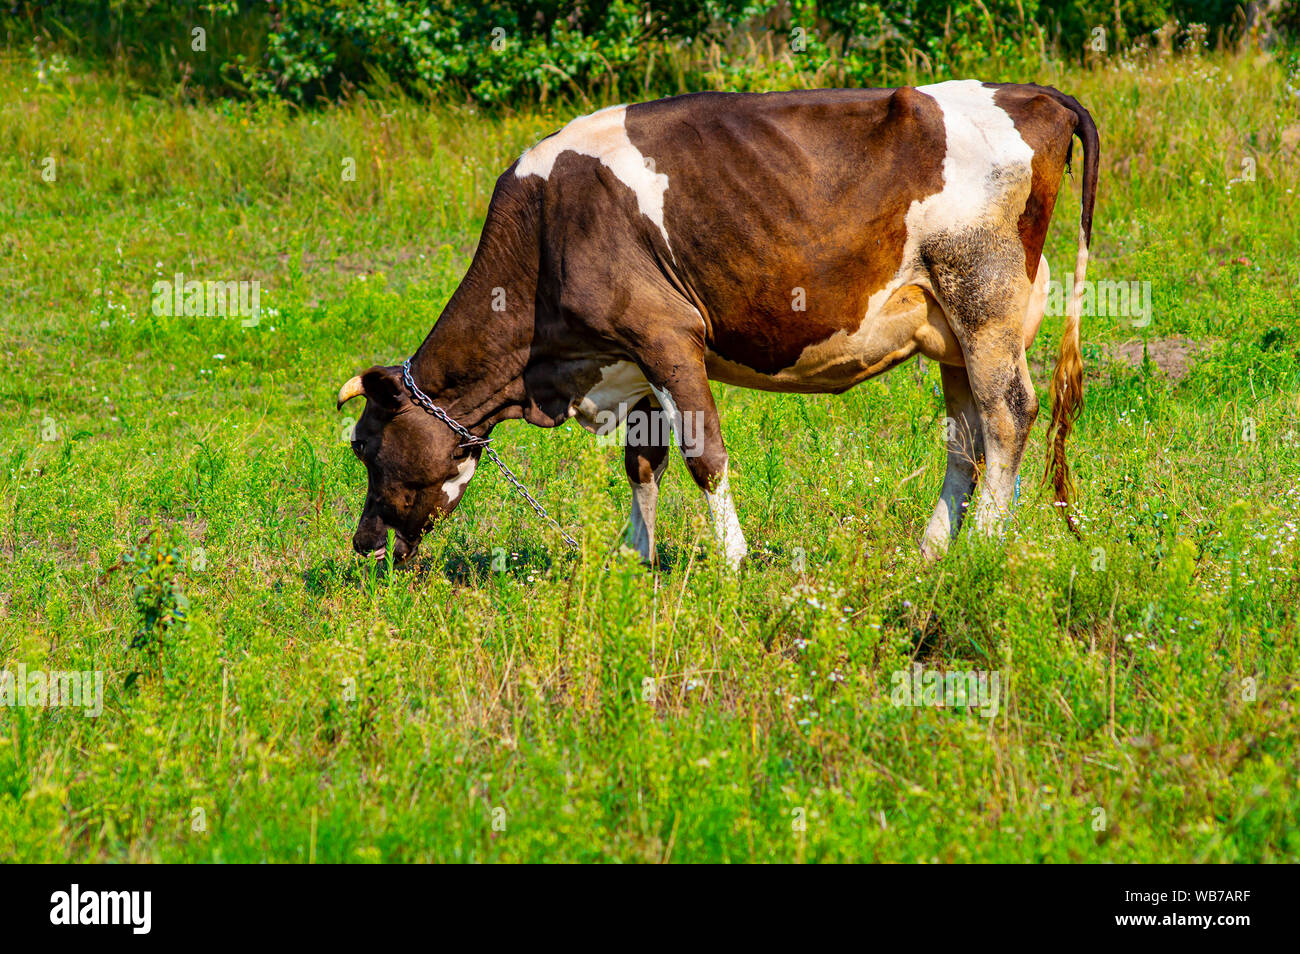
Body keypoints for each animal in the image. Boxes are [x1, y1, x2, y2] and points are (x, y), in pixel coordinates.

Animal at [337, 80, 1099, 568]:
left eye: (365, 448)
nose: (363, 543)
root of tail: (1032, 92)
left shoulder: (665, 334)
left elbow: (705, 454)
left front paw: (732, 562)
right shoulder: (630, 357)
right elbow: (642, 460)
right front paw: (634, 557)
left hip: (984, 296)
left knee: (1008, 414)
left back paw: (985, 545)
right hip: (951, 330)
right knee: (965, 436)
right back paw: (933, 549)